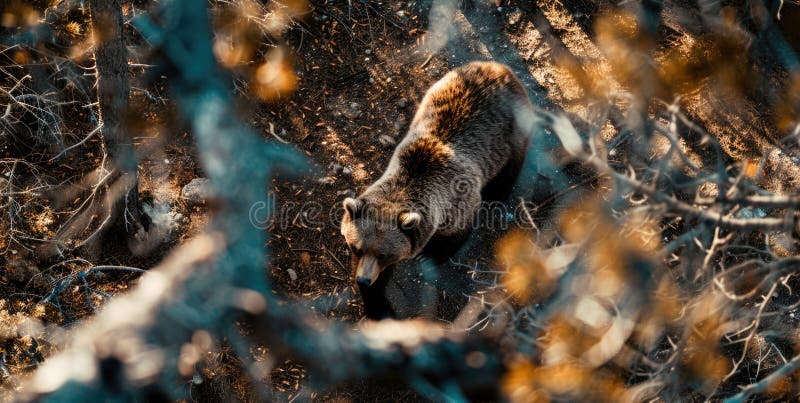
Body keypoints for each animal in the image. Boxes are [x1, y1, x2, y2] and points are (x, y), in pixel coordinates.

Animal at [340, 61, 535, 315]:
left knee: (512, 163)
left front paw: (429, 256)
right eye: (357, 248)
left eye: (384, 254)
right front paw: (376, 304)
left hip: (511, 129)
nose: (363, 280)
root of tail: (499, 67)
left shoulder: (457, 196)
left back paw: (497, 194)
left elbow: (457, 231)